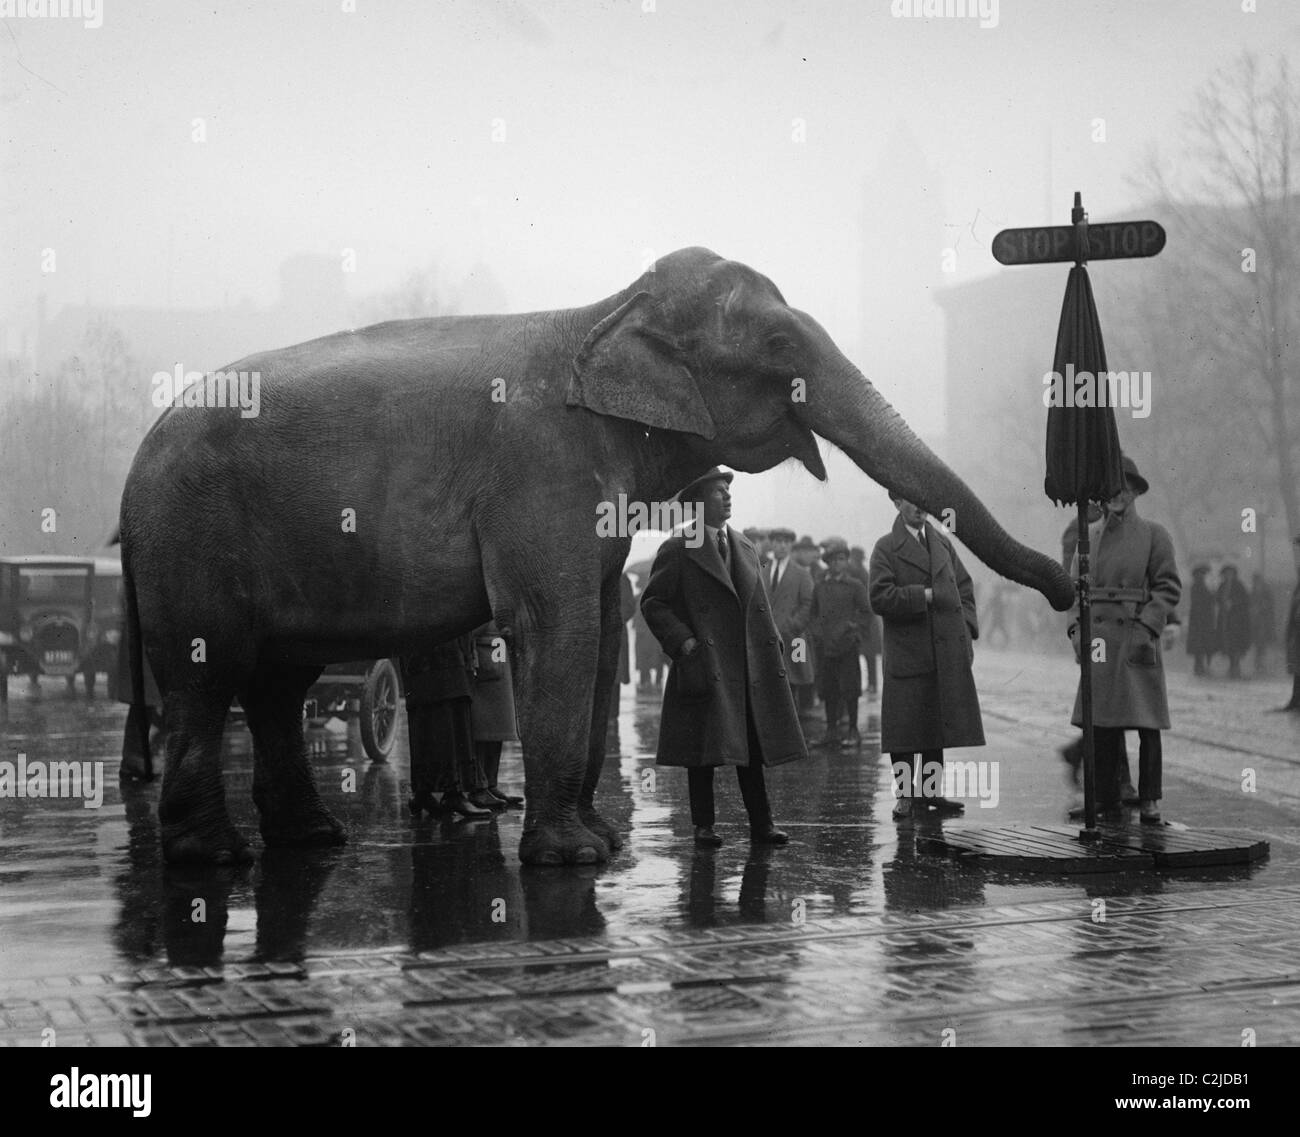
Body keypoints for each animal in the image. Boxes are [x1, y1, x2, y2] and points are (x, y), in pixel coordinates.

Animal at [119, 246, 1073, 867]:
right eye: (778, 348)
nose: (1068, 587)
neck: (606, 311)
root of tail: (134, 468)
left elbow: (605, 625)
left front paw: (604, 841)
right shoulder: (541, 470)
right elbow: (561, 625)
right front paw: (572, 855)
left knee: (278, 685)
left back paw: (309, 838)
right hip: (190, 544)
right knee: (209, 677)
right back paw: (214, 856)